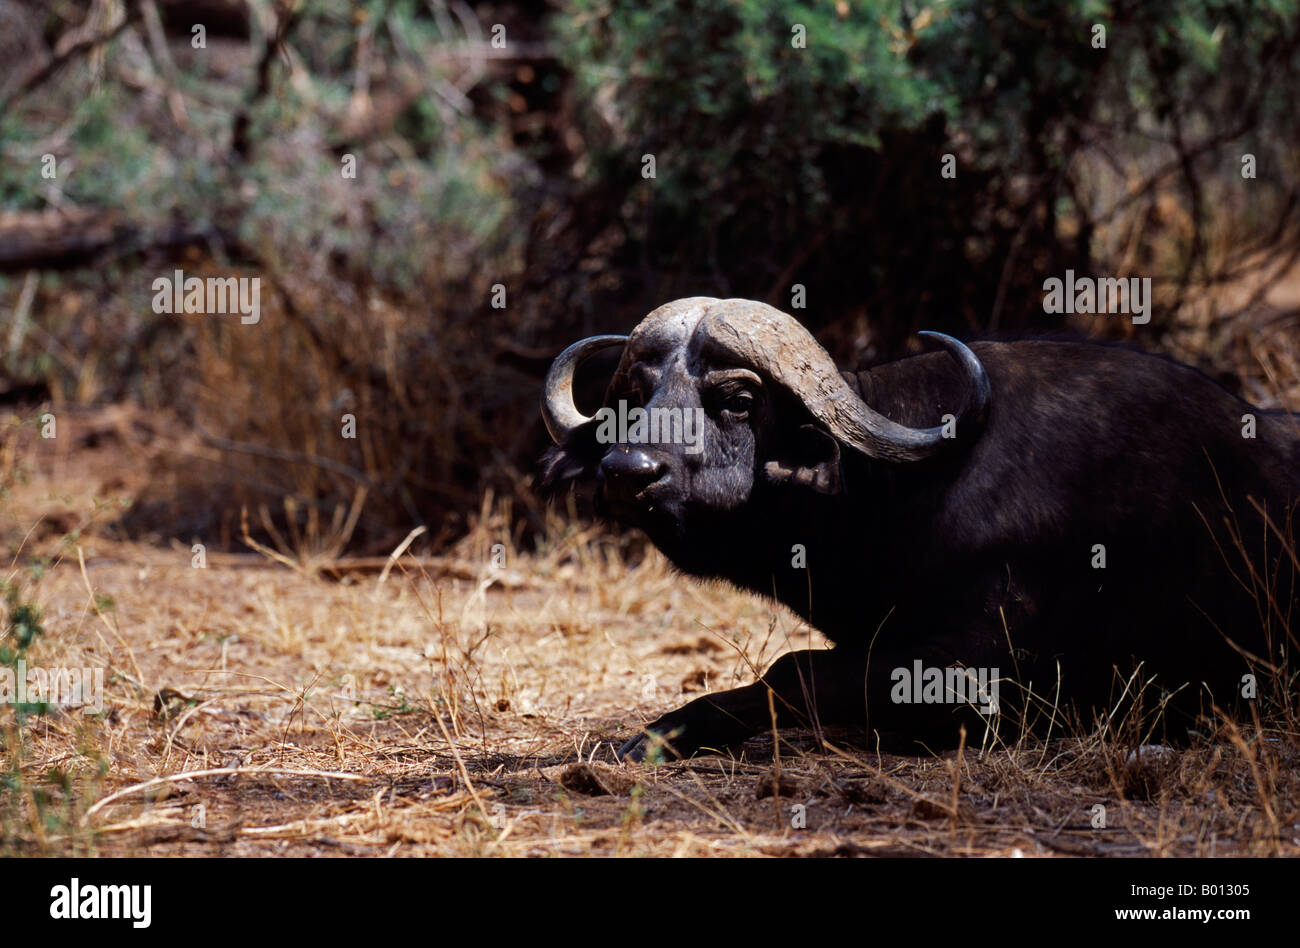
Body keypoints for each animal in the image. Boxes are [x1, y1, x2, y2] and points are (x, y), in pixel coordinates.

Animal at [540, 297, 1299, 760]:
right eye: (635, 395)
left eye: (736, 399)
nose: (626, 470)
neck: (906, 490)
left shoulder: (986, 676)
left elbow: (791, 670)